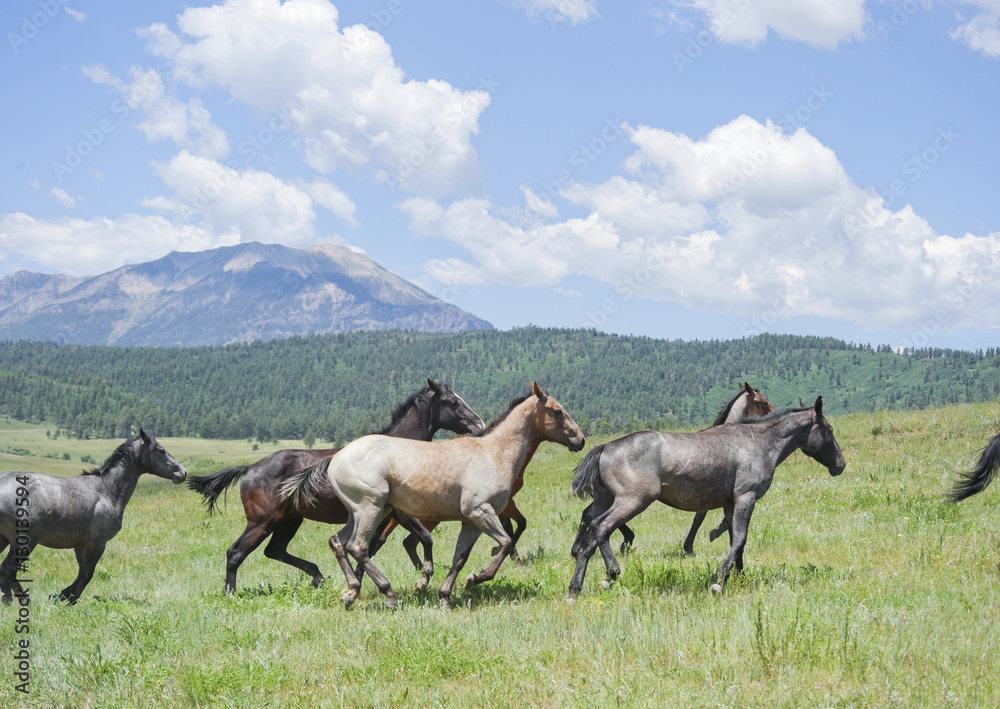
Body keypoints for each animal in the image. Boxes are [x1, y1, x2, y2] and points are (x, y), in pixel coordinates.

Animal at [0, 430, 186, 605]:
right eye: (161, 450)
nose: (182, 473)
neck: (106, 490)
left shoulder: (81, 545)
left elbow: (82, 572)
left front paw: (61, 595)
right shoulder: (97, 544)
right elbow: (88, 574)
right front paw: (68, 599)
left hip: (5, 540)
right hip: (25, 541)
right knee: (8, 569)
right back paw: (20, 600)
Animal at [186, 378, 484, 595]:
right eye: (452, 401)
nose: (479, 425)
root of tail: (250, 468)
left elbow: (368, 548)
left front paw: (360, 583)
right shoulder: (401, 513)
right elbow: (424, 538)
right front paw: (421, 578)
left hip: (289, 520)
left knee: (274, 550)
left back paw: (317, 576)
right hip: (262, 522)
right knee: (236, 553)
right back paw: (231, 594)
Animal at [281, 382, 585, 609]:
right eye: (557, 411)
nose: (580, 439)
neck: (493, 453)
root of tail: (335, 458)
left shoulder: (471, 522)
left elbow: (460, 557)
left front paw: (445, 596)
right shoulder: (481, 512)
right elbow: (506, 543)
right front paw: (474, 578)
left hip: (358, 512)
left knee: (338, 542)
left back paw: (351, 592)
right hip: (371, 509)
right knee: (358, 547)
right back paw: (388, 594)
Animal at [567, 397, 844, 600]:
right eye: (829, 429)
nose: (840, 465)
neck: (758, 443)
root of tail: (605, 447)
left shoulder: (730, 504)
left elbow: (736, 541)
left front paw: (738, 578)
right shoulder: (746, 498)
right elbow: (740, 539)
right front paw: (719, 580)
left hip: (605, 500)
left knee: (589, 538)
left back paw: (574, 589)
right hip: (633, 501)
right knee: (601, 527)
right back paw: (611, 574)